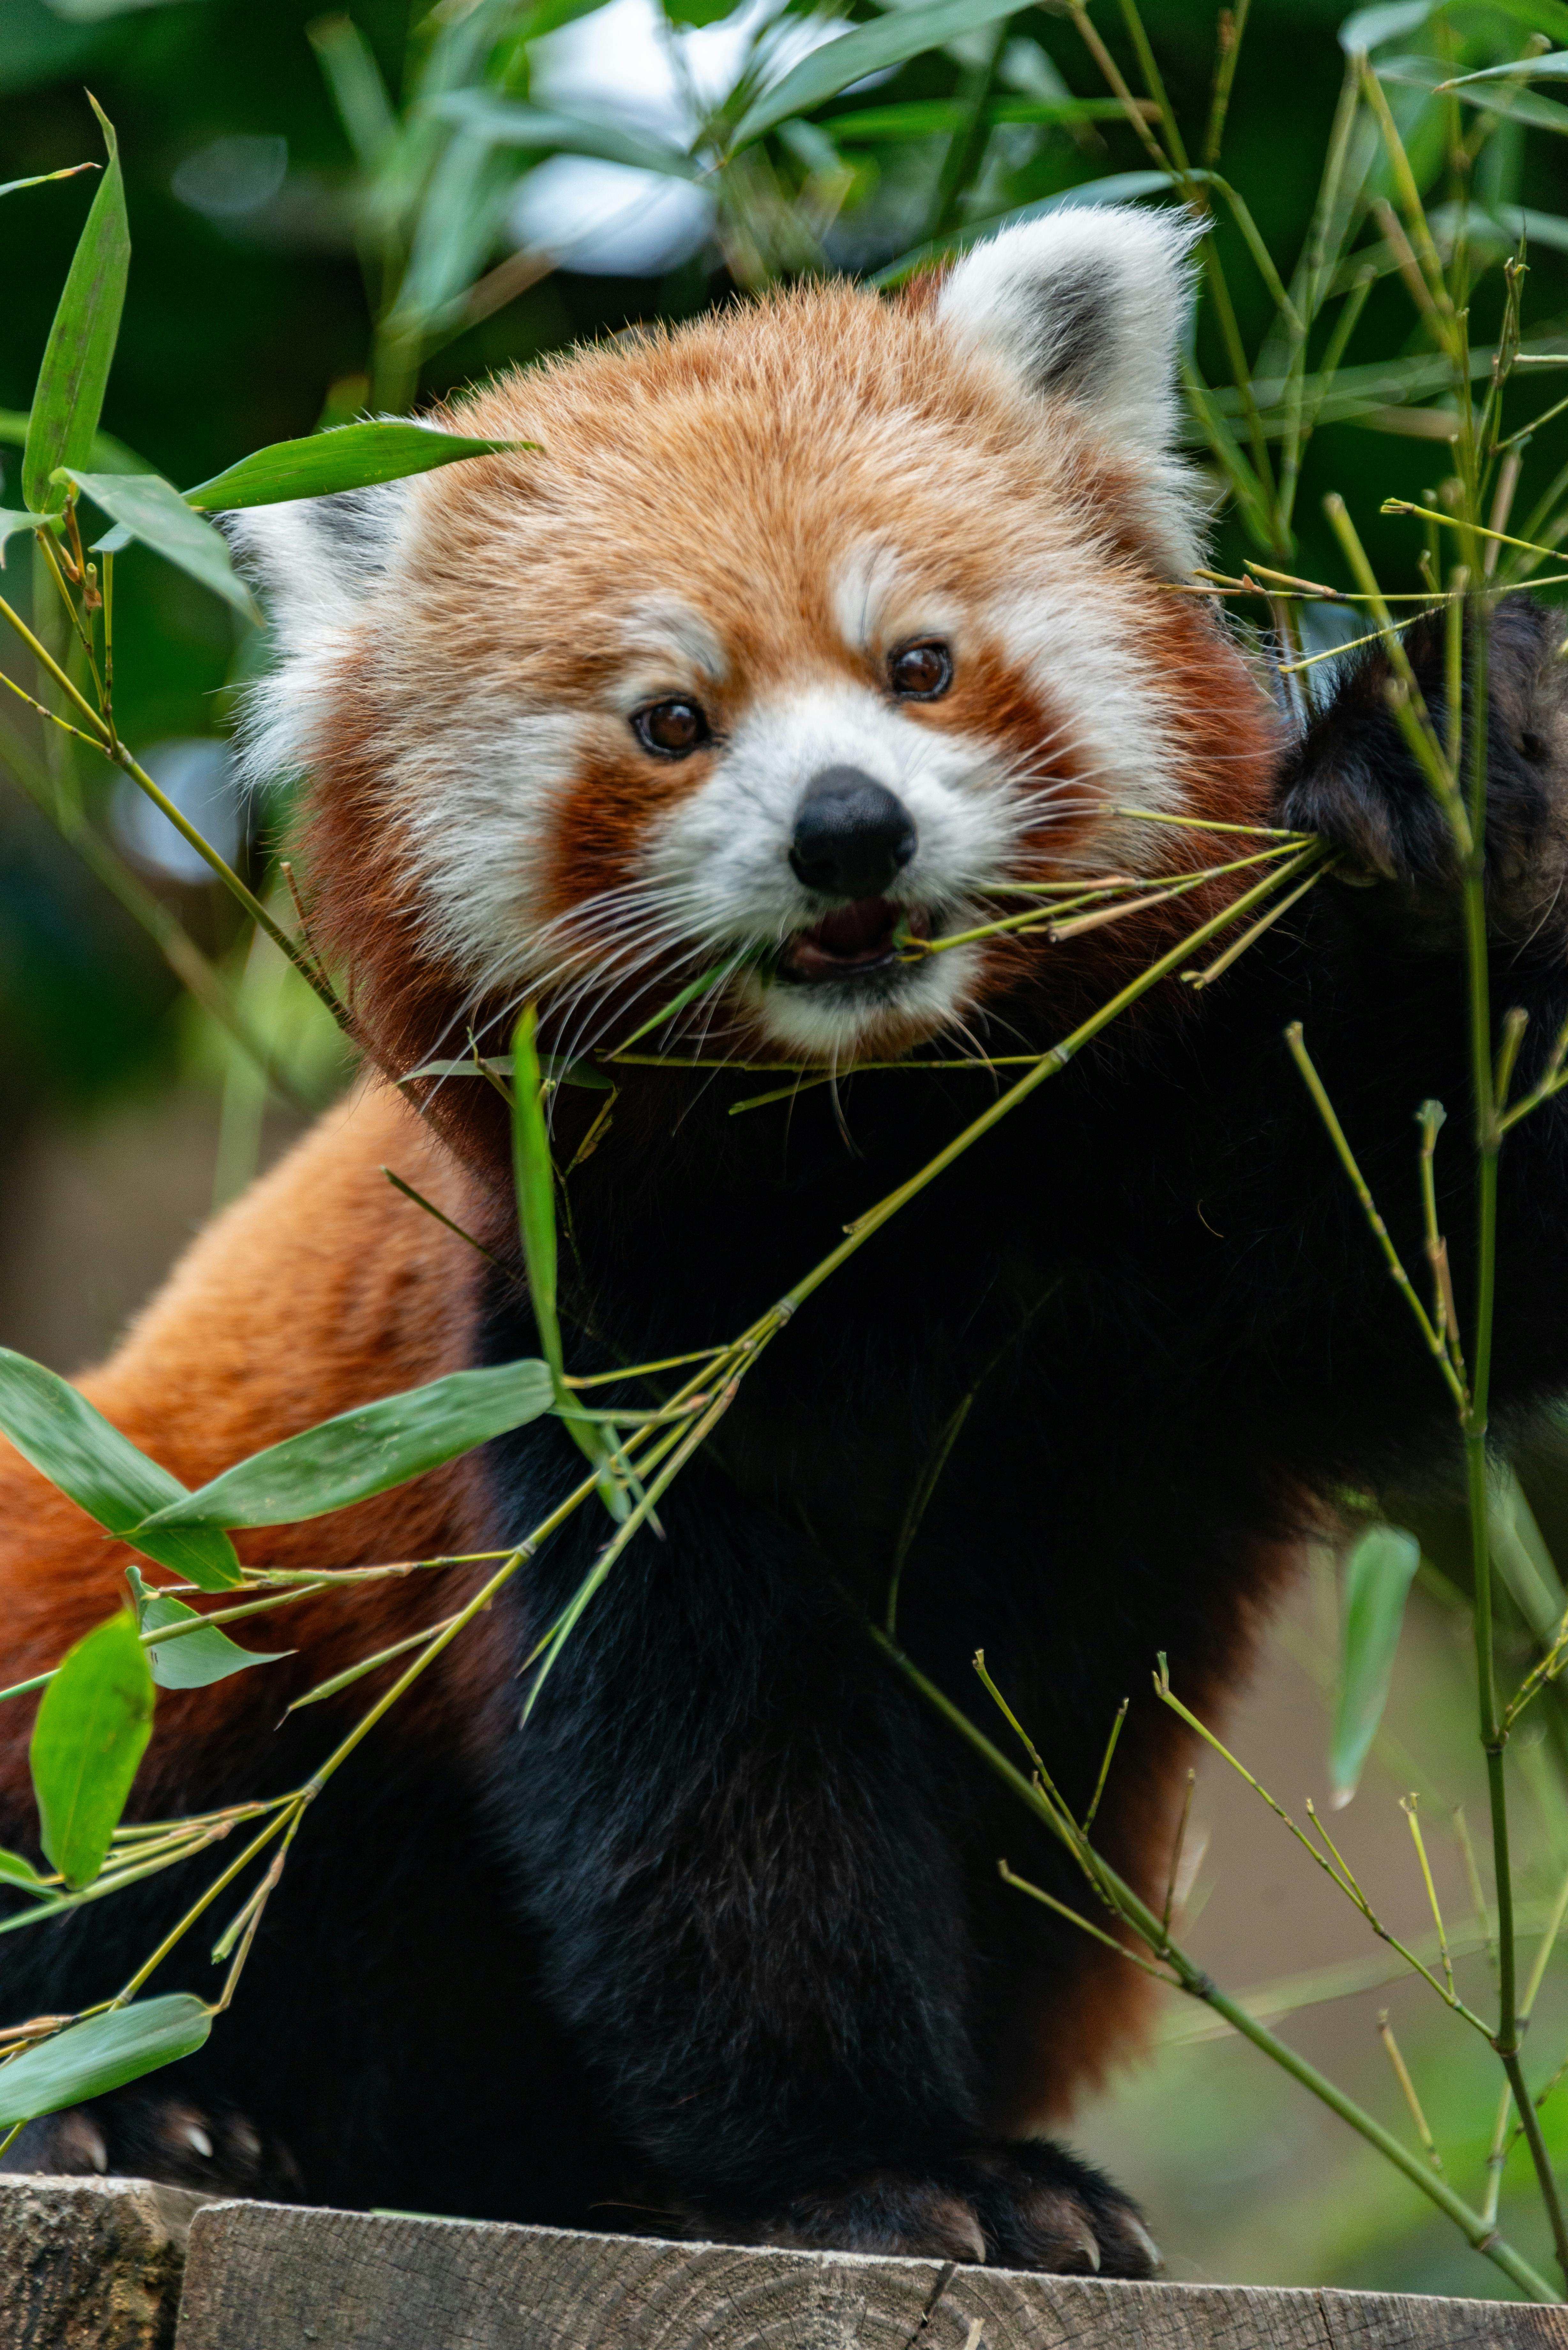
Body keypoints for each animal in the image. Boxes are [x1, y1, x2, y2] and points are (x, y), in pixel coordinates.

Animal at [4, 205, 1568, 2277]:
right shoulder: (599, 1343)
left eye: (918, 664)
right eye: (671, 719)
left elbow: (1451, 1212)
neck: (889, 1154)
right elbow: (721, 1783)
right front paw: (887, 2166)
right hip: (137, 1628)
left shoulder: (1193, 1193)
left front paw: (1469, 760)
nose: (847, 828)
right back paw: (132, 2097)